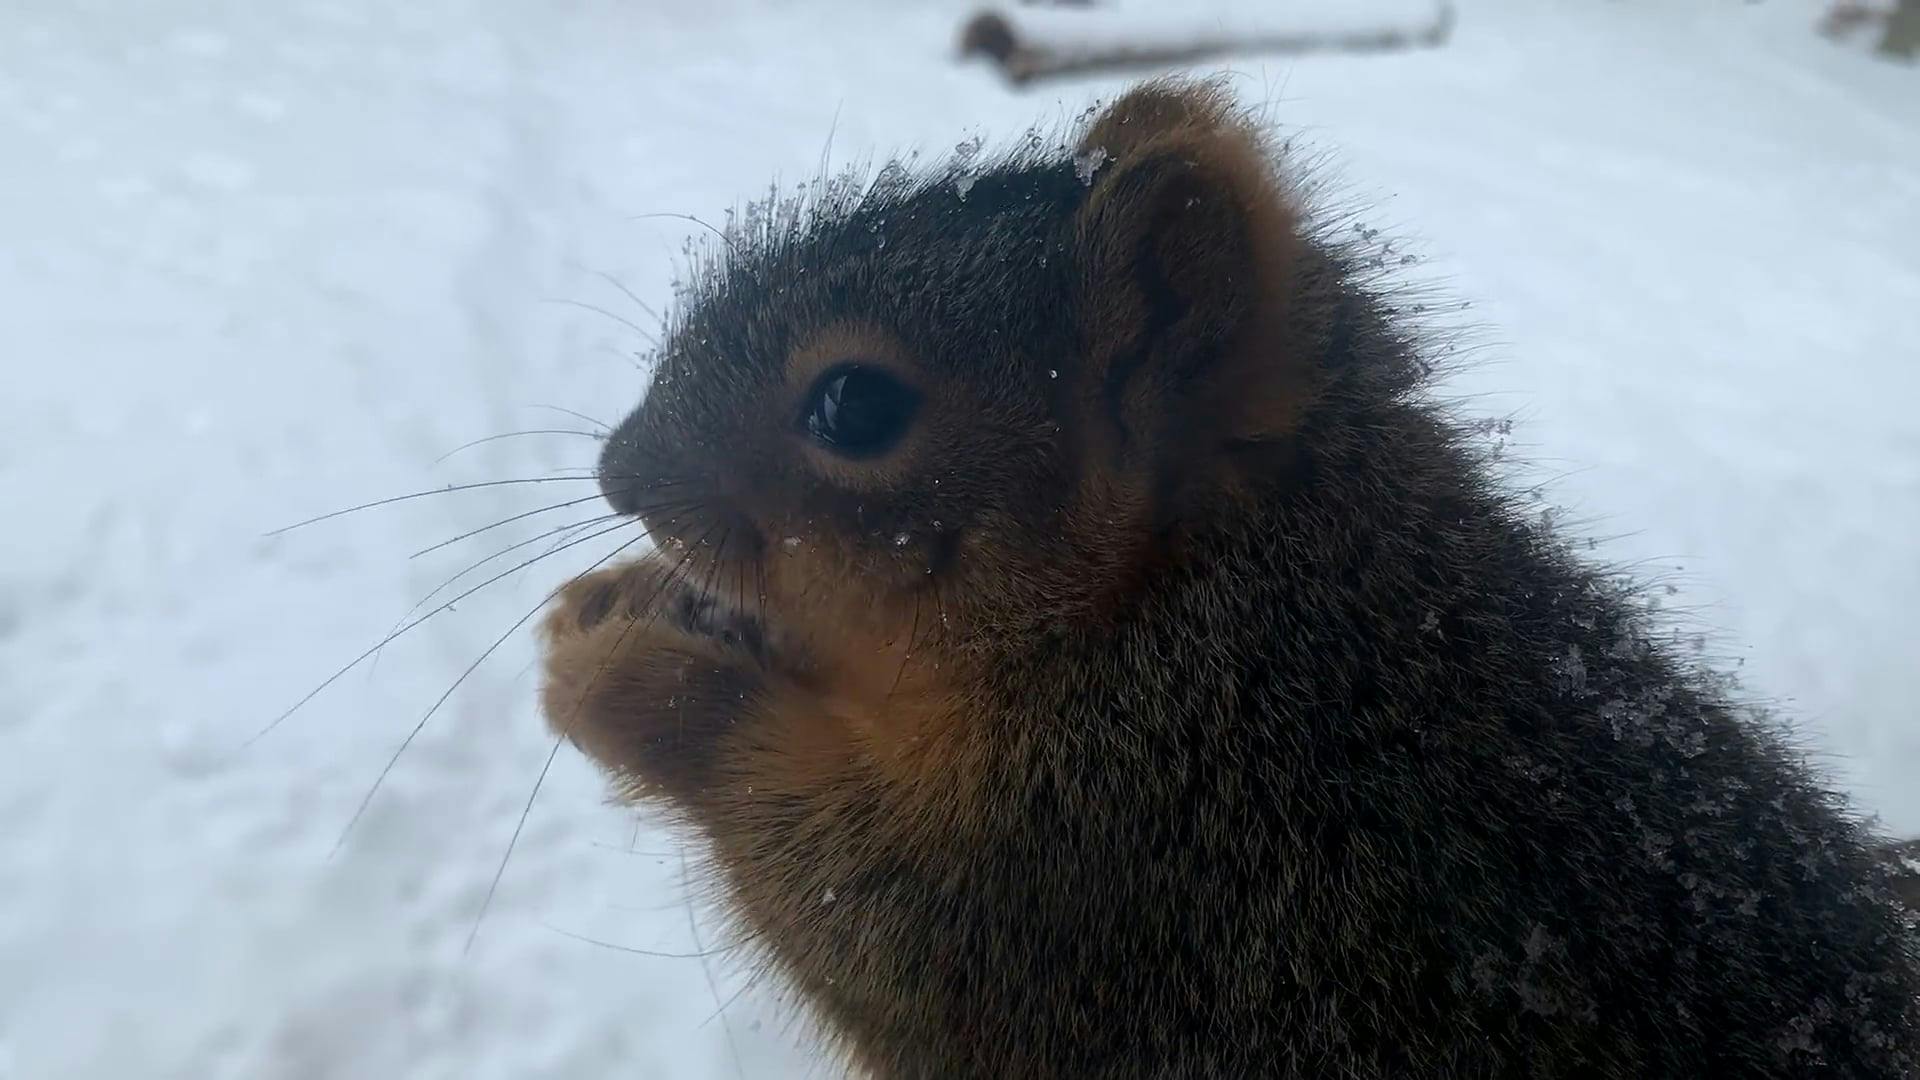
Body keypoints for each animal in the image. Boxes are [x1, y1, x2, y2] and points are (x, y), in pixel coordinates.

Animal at [540, 79, 1920, 1078]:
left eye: (855, 405)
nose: (618, 475)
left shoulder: (1112, 869)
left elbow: (845, 908)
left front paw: (621, 675)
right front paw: (613, 607)